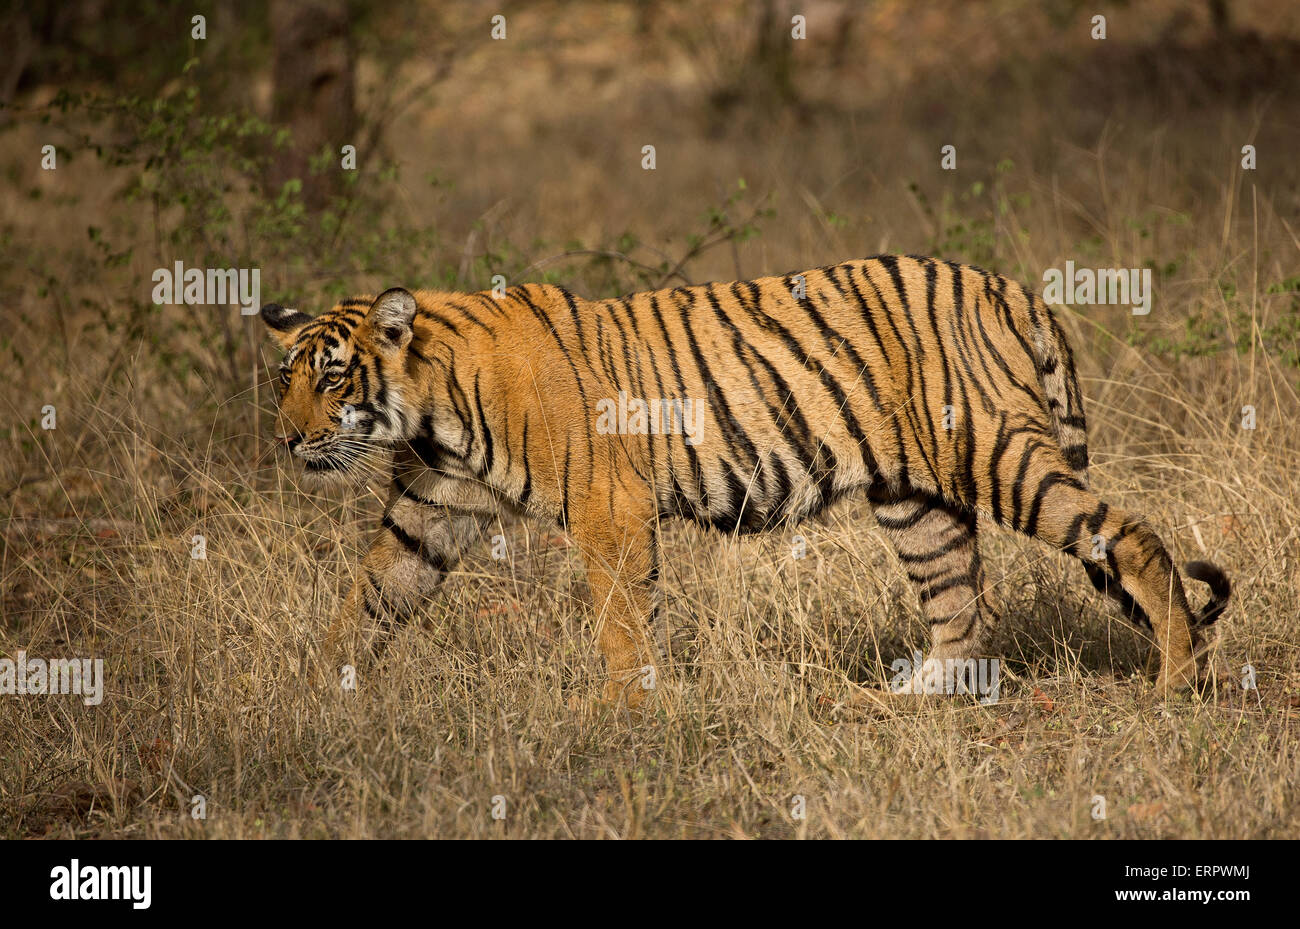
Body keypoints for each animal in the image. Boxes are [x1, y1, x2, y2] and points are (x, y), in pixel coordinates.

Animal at [260, 255, 1231, 711]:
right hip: (915, 499)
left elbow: (620, 619)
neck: (431, 408)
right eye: (285, 378)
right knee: (963, 601)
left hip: (998, 454)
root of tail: (1007, 285)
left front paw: (623, 710)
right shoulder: (429, 512)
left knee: (1130, 534)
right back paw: (912, 697)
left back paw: (1176, 681)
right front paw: (306, 701)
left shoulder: (607, 506)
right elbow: (367, 601)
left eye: (335, 377)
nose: (288, 439)